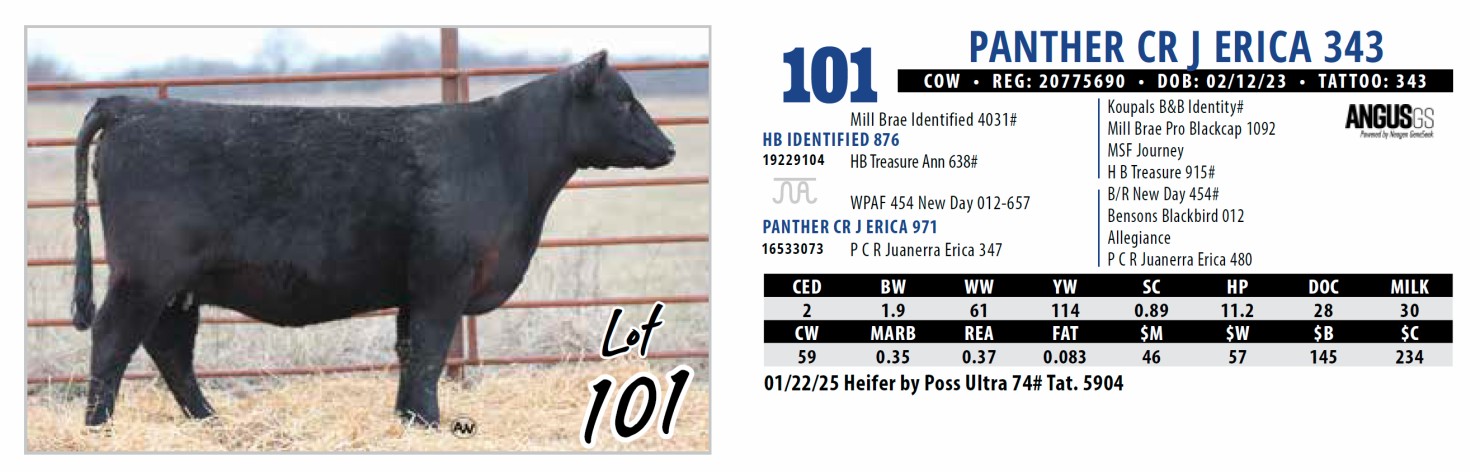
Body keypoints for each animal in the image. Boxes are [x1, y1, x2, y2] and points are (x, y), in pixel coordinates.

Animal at [68, 50, 675, 427]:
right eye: (622, 101)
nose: (668, 147)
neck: (503, 154)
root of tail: (129, 105)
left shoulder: (413, 288)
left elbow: (410, 351)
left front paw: (409, 419)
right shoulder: (442, 279)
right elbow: (430, 351)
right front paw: (429, 421)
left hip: (180, 287)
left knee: (169, 348)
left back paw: (211, 422)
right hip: (145, 274)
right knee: (113, 340)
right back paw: (99, 427)